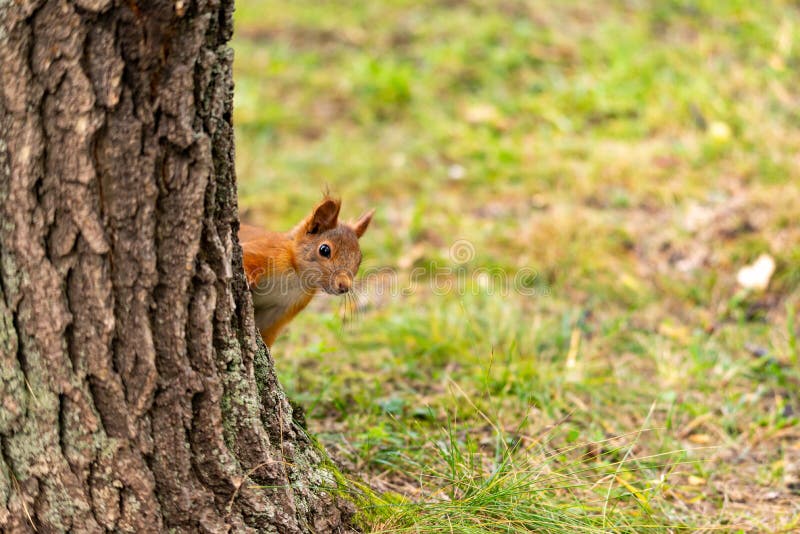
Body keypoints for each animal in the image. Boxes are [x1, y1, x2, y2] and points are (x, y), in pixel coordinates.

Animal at [239, 196, 374, 346]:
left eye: (359, 259)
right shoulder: (266, 251)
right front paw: (247, 276)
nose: (345, 286)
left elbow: (266, 332)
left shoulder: (282, 309)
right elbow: (248, 257)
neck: (297, 277)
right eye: (324, 249)